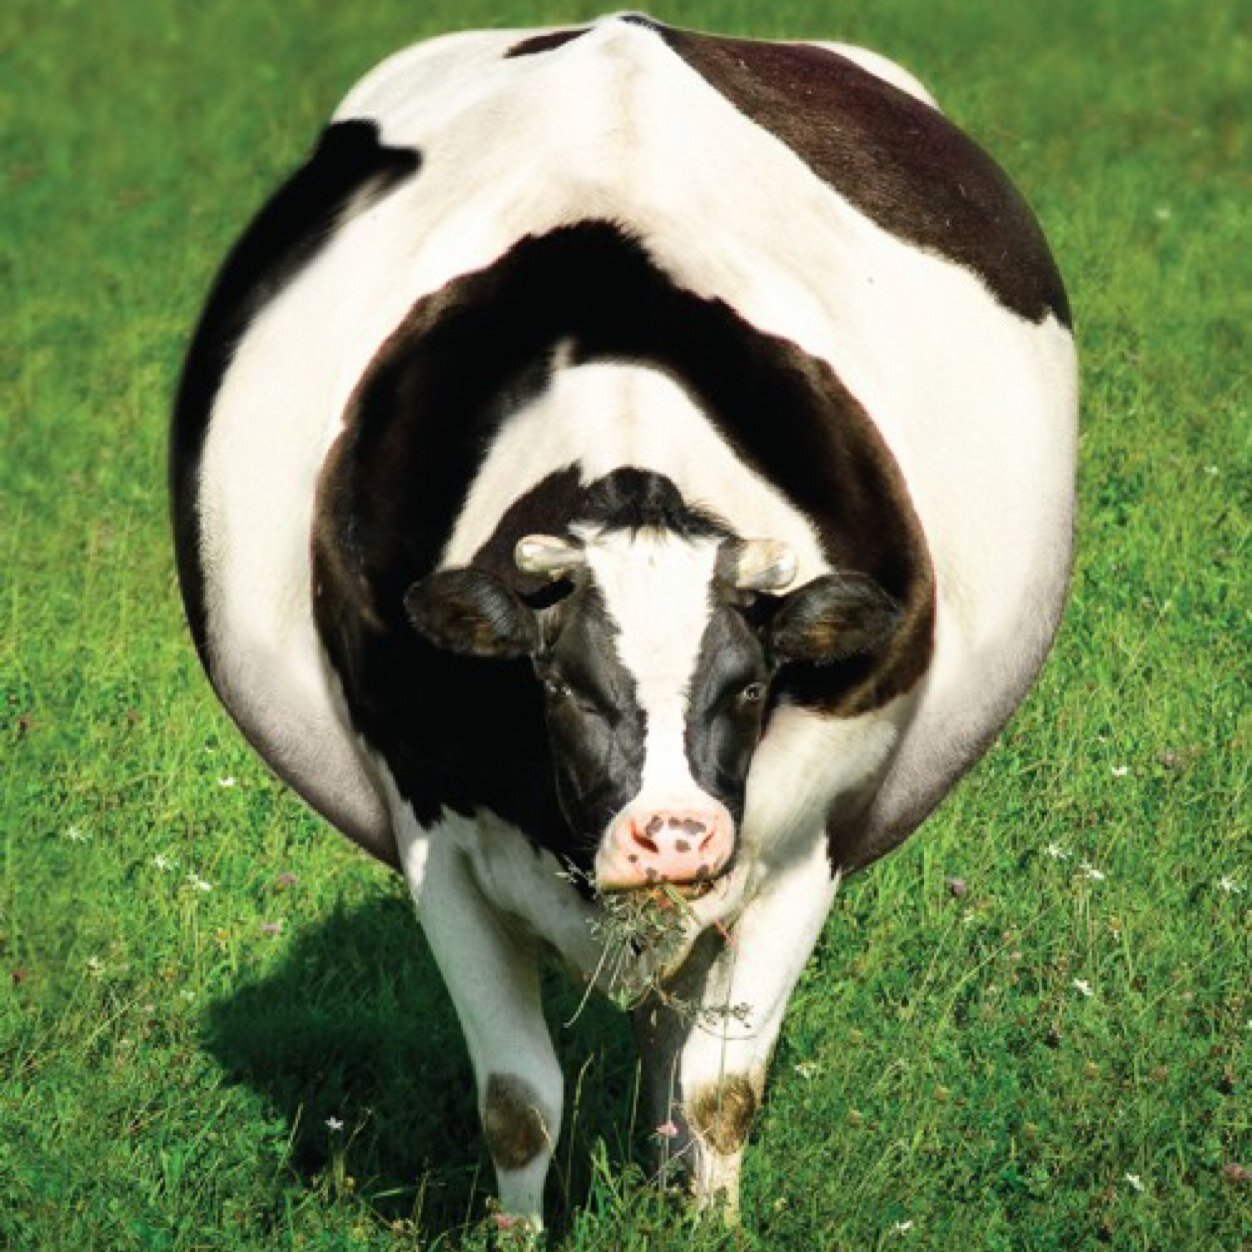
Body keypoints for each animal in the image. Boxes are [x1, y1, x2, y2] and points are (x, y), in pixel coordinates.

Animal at [171, 14, 1076, 1230]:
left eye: (751, 684)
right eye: (561, 685)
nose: (672, 833)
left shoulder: (807, 842)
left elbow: (724, 1089)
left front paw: (713, 1227)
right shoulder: (433, 839)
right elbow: (518, 1102)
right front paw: (516, 1234)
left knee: (672, 1021)